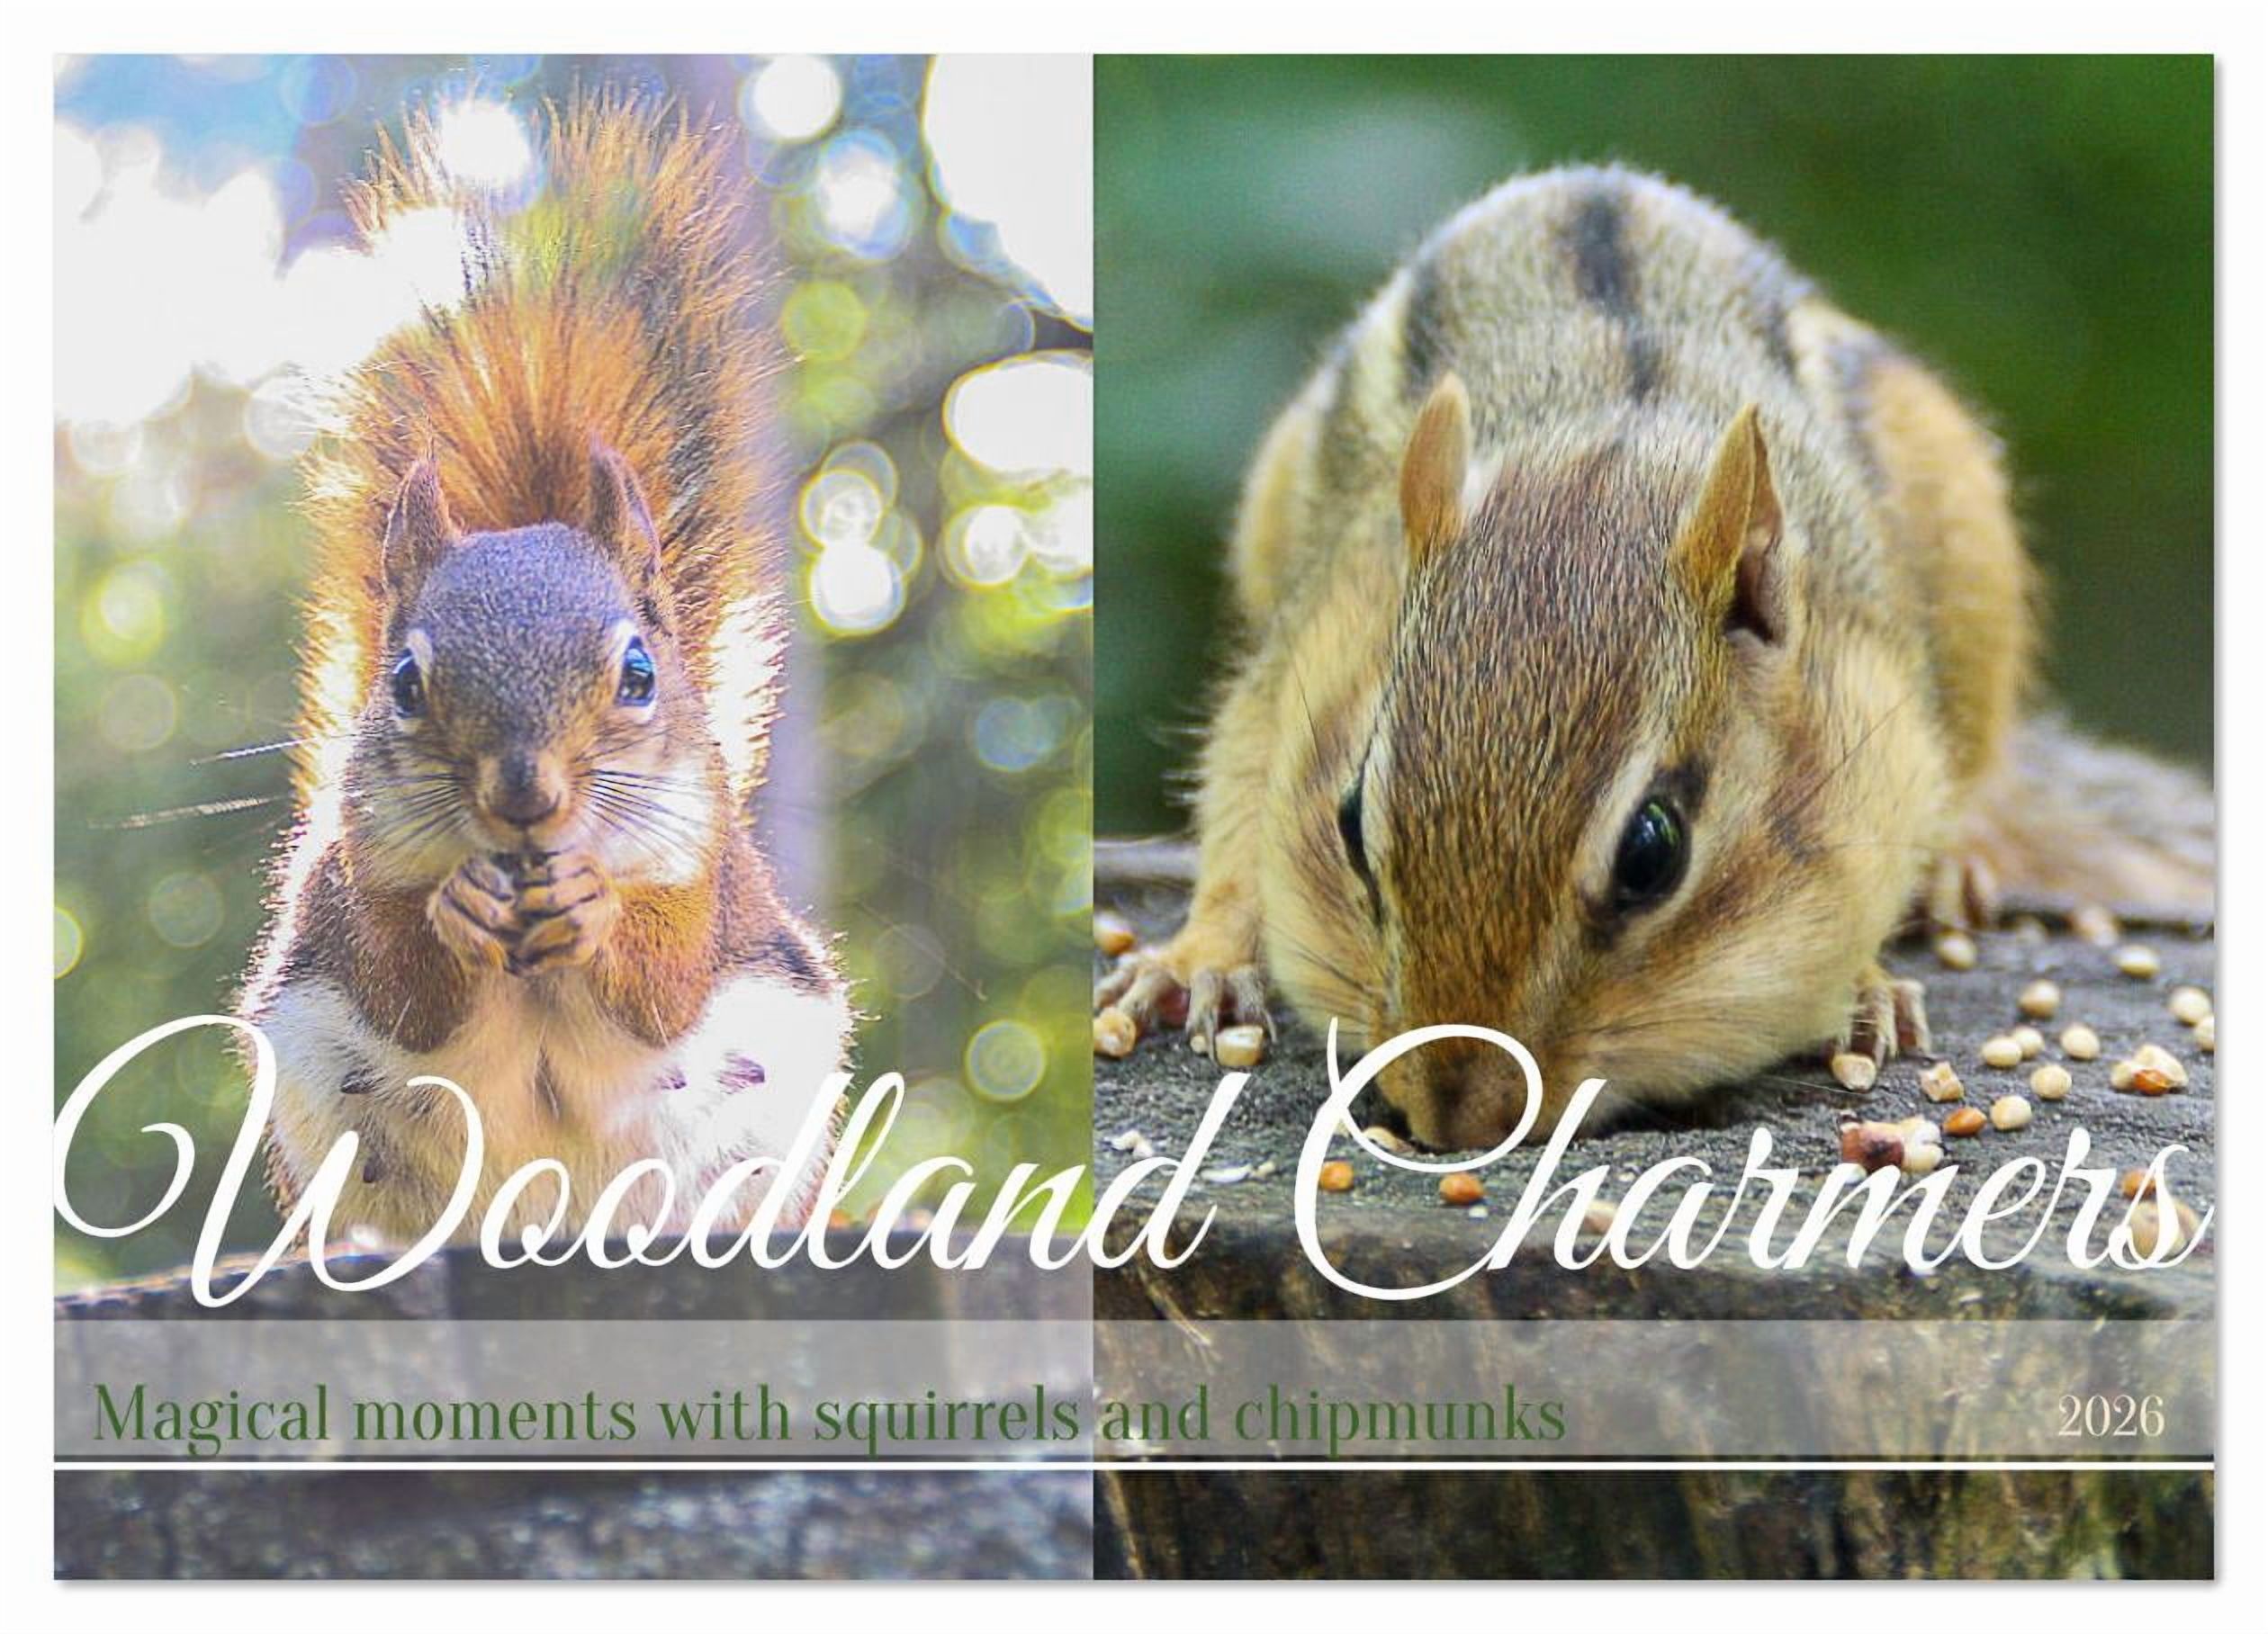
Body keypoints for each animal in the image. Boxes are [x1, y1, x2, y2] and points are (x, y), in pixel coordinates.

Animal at [239, 96, 851, 1241]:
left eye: (641, 672)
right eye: (404, 684)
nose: (524, 793)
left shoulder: (709, 873)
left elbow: (667, 979)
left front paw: (595, 905)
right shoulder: (351, 879)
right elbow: (400, 983)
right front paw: (458, 911)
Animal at [1098, 165, 2213, 1151]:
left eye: (1652, 852)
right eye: (1349, 822)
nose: (1459, 1119)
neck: (1612, 457)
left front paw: (1864, 991)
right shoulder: (1306, 654)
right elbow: (1243, 786)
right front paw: (1195, 961)